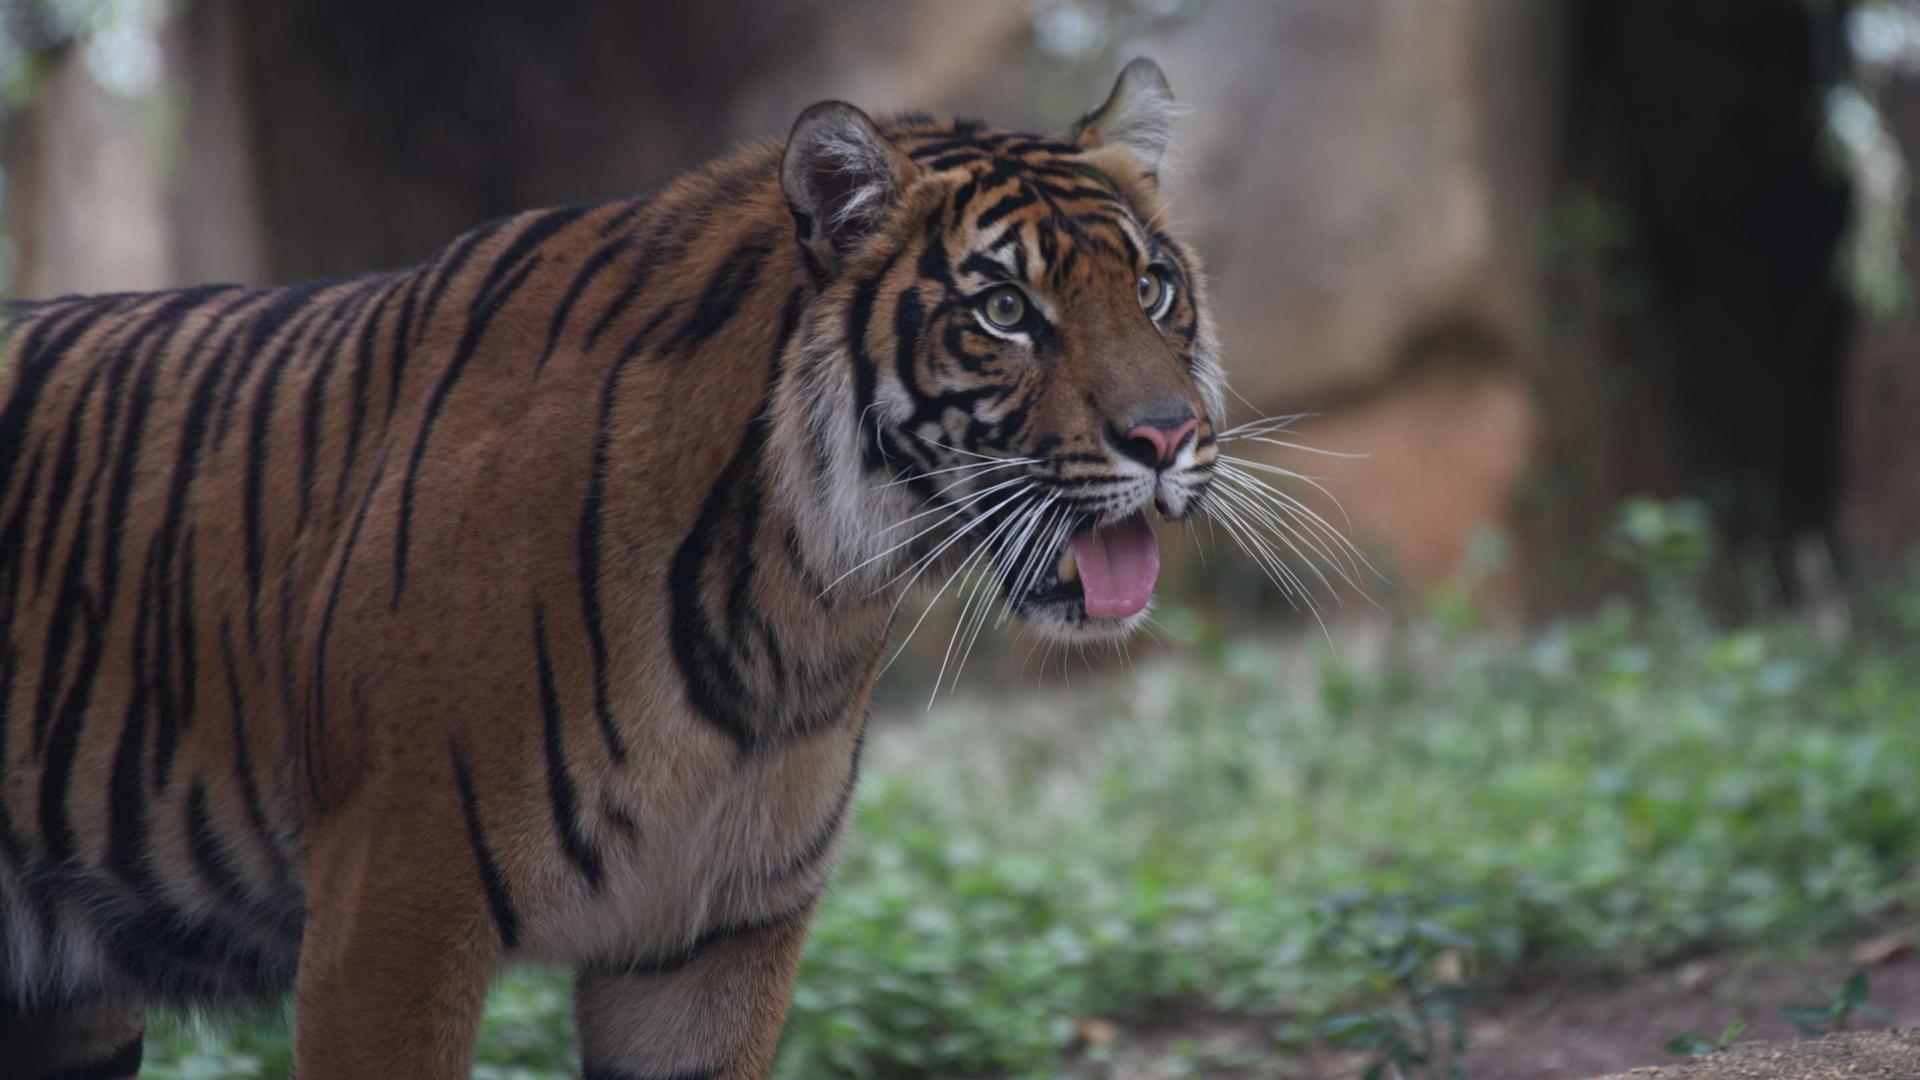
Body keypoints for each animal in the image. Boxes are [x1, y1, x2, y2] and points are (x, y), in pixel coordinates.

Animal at [0, 58, 1239, 1078]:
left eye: (1153, 290)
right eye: (1005, 311)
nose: (1168, 436)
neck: (798, 604)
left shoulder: (712, 941)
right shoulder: (390, 910)